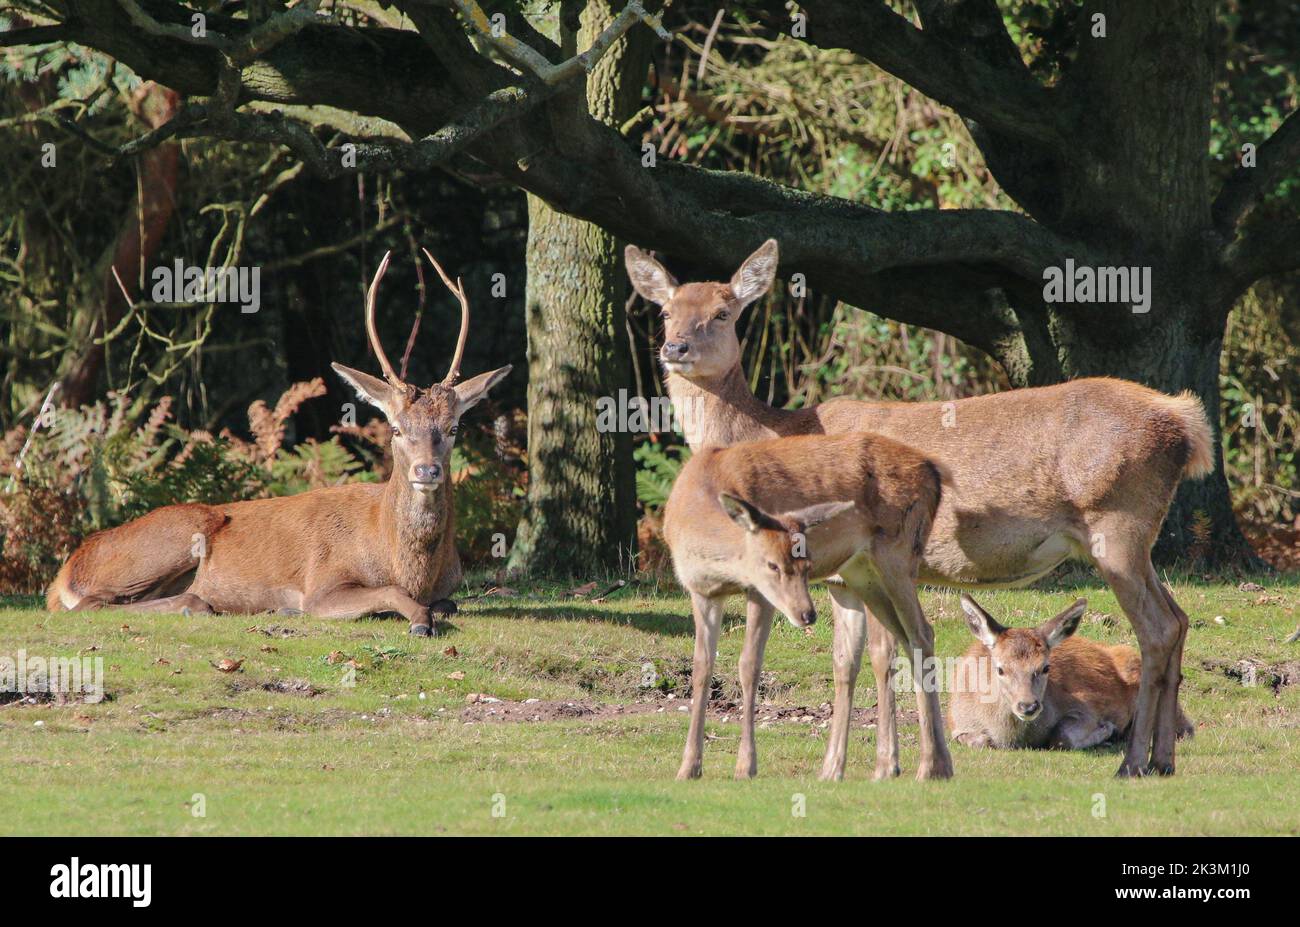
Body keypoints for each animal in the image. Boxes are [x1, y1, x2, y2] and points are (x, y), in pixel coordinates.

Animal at [46, 249, 510, 637]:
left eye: (453, 427)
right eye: (395, 428)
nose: (427, 470)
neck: (407, 564)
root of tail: (65, 572)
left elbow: (449, 602)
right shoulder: (323, 583)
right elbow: (394, 597)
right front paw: (418, 622)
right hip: (173, 537)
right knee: (93, 603)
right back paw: (199, 603)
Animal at [663, 432, 944, 781]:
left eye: (807, 565)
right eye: (772, 565)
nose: (807, 614)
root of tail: (935, 475)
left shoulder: (759, 594)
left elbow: (749, 665)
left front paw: (746, 766)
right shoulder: (701, 592)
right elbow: (702, 667)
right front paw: (688, 766)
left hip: (900, 553)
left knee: (922, 633)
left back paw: (930, 766)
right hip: (860, 571)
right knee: (894, 642)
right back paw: (872, 767)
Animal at [949, 594, 1195, 750]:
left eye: (1045, 667)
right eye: (1000, 668)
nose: (1028, 706)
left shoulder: (1085, 707)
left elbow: (1061, 737)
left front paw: (1106, 730)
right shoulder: (954, 722)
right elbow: (978, 741)